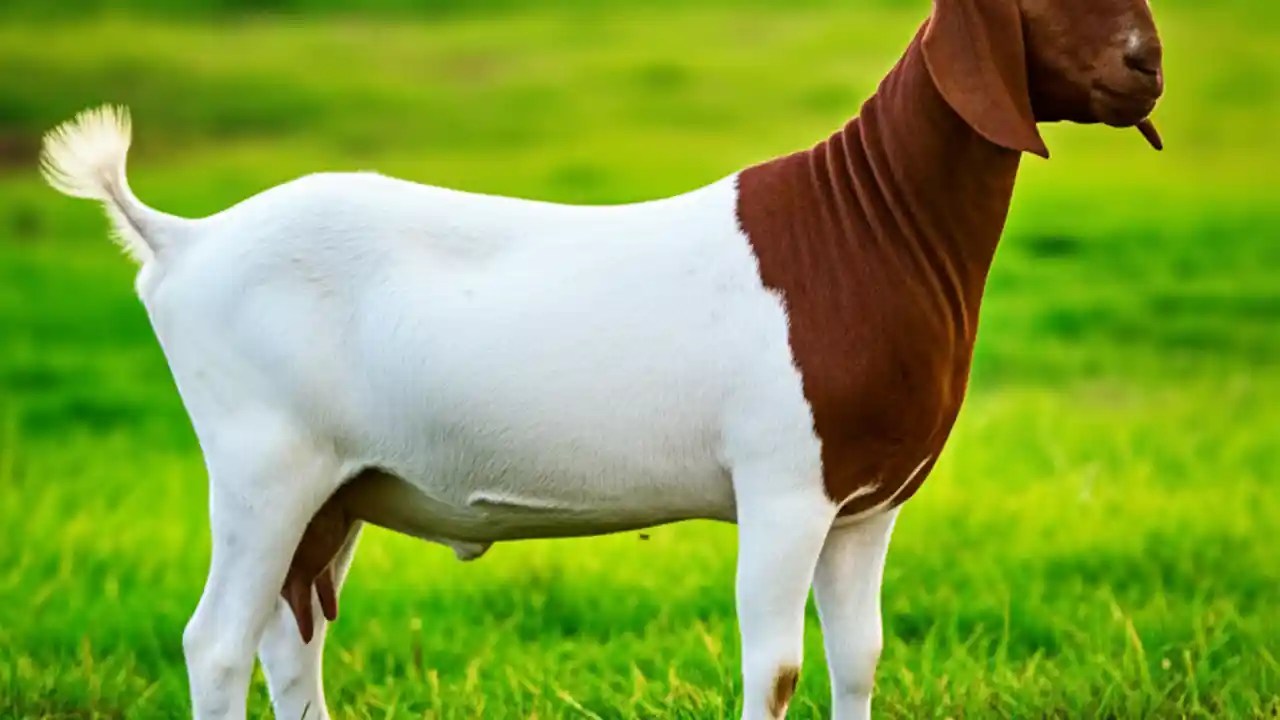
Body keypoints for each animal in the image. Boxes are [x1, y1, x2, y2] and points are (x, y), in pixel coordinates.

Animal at [40, 0, 1164, 717]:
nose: (1146, 60)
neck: (865, 229)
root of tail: (181, 240)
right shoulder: (781, 488)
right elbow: (775, 667)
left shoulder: (862, 505)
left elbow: (856, 661)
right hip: (261, 466)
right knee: (218, 646)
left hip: (332, 490)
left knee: (294, 639)